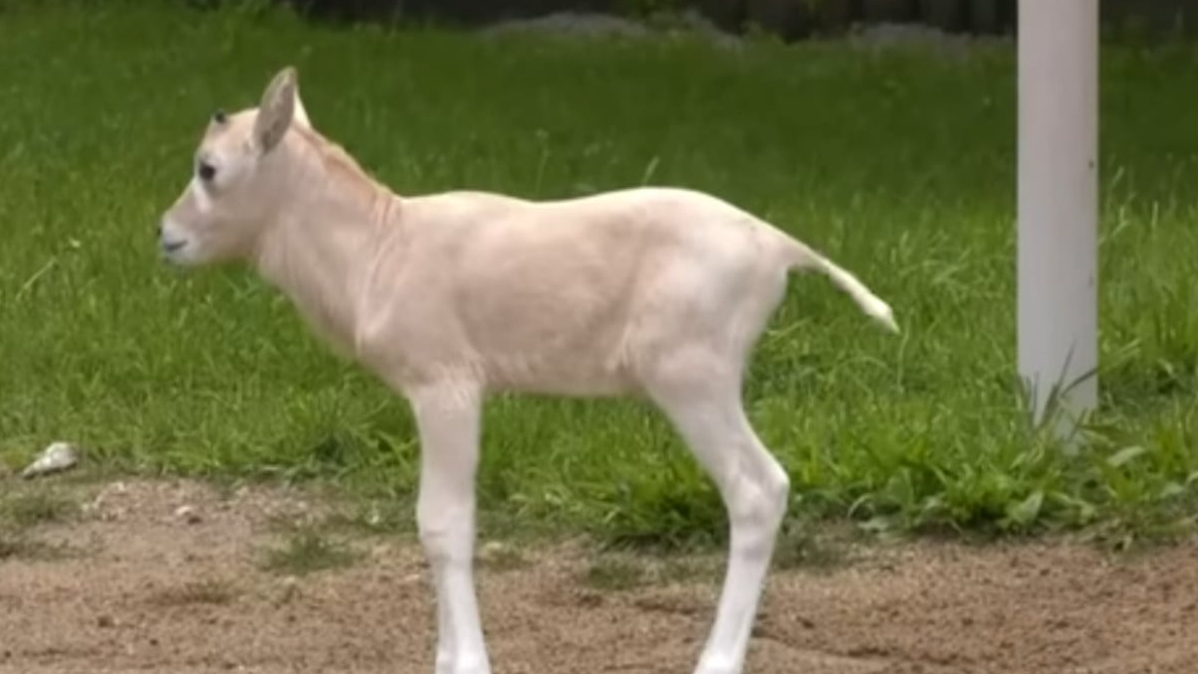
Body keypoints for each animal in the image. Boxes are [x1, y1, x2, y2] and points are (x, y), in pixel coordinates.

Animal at [157, 66, 899, 674]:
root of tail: (780, 246)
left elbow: (444, 522)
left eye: (209, 168)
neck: (383, 245)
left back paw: (715, 661)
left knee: (758, 488)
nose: (166, 236)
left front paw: (465, 664)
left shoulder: (448, 388)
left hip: (693, 380)